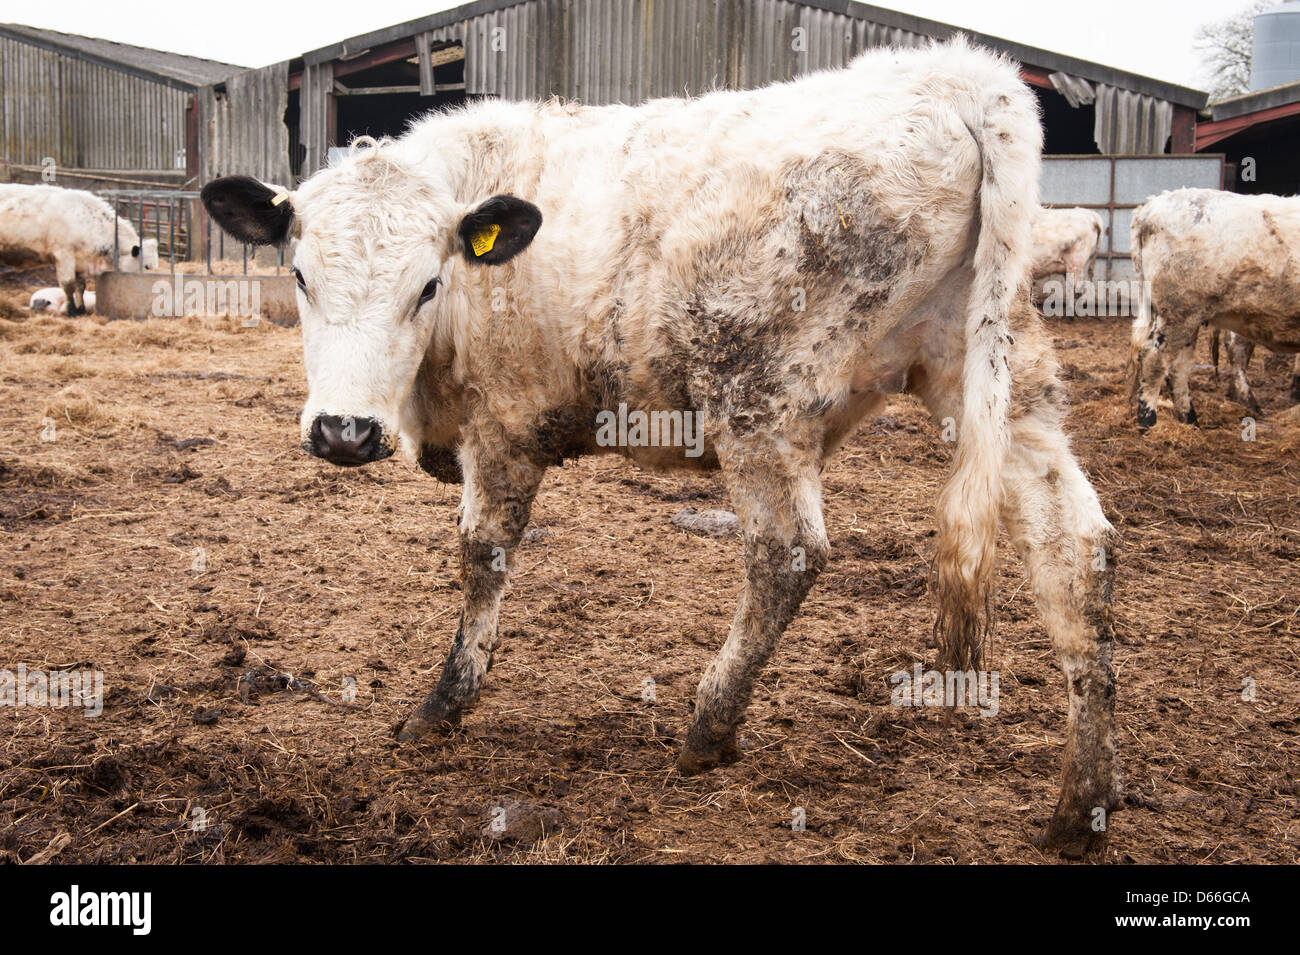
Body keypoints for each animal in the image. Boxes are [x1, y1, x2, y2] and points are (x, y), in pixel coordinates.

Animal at [0, 183, 147, 316]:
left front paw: (81, 309)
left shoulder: (79, 261)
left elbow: (80, 286)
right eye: (146, 266)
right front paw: (71, 311)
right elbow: (68, 285)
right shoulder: (64, 255)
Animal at [202, 39, 1120, 857]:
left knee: (788, 553)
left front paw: (442, 704)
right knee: (1076, 552)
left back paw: (709, 727)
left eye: (426, 284)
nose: (344, 432)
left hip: (759, 397)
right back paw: (1082, 806)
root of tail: (951, 74)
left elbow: (483, 556)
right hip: (995, 373)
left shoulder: (502, 426)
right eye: (299, 277)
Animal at [1129, 188, 1300, 429]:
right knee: (1154, 359)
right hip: (1179, 313)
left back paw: (1190, 421)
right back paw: (1148, 422)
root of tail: (1152, 205)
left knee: (1178, 368)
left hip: (1190, 319)